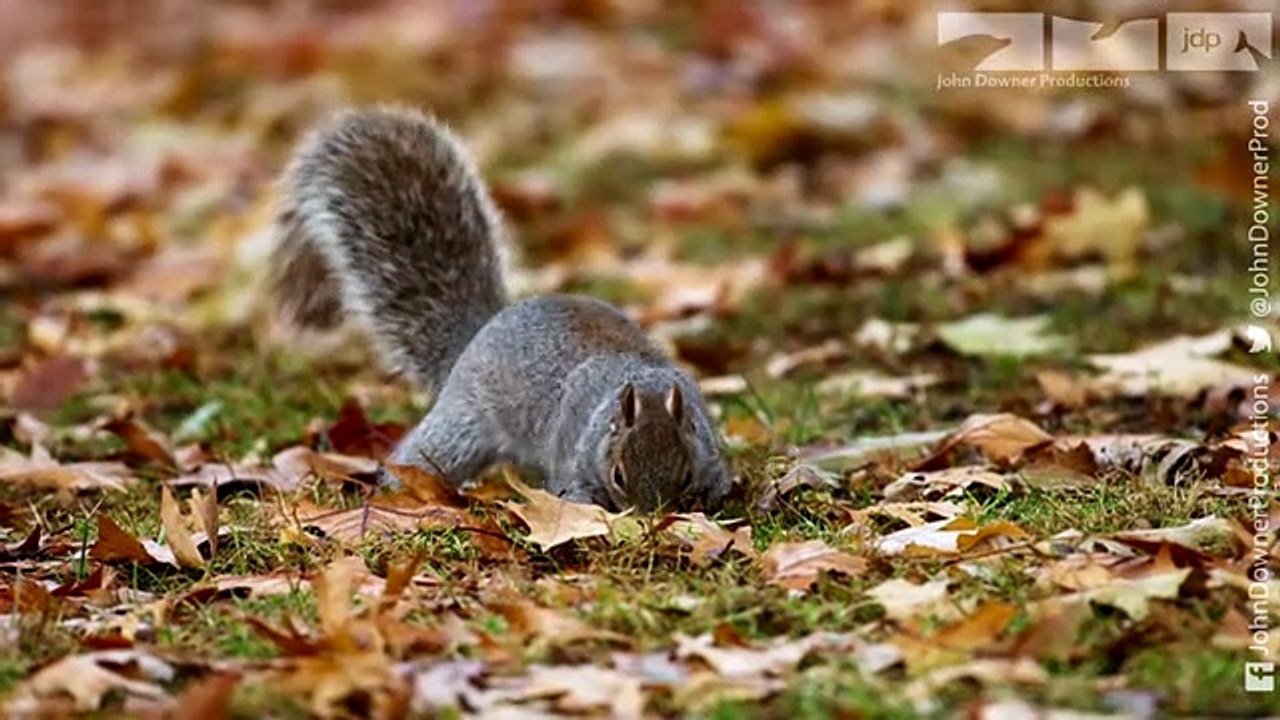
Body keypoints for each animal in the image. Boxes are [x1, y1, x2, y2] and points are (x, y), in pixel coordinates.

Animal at [269, 107, 732, 512]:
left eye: (686, 475)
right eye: (618, 474)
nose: (652, 518)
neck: (637, 386)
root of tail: (481, 332)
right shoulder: (570, 453)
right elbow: (572, 489)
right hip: (461, 425)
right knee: (424, 453)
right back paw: (397, 487)